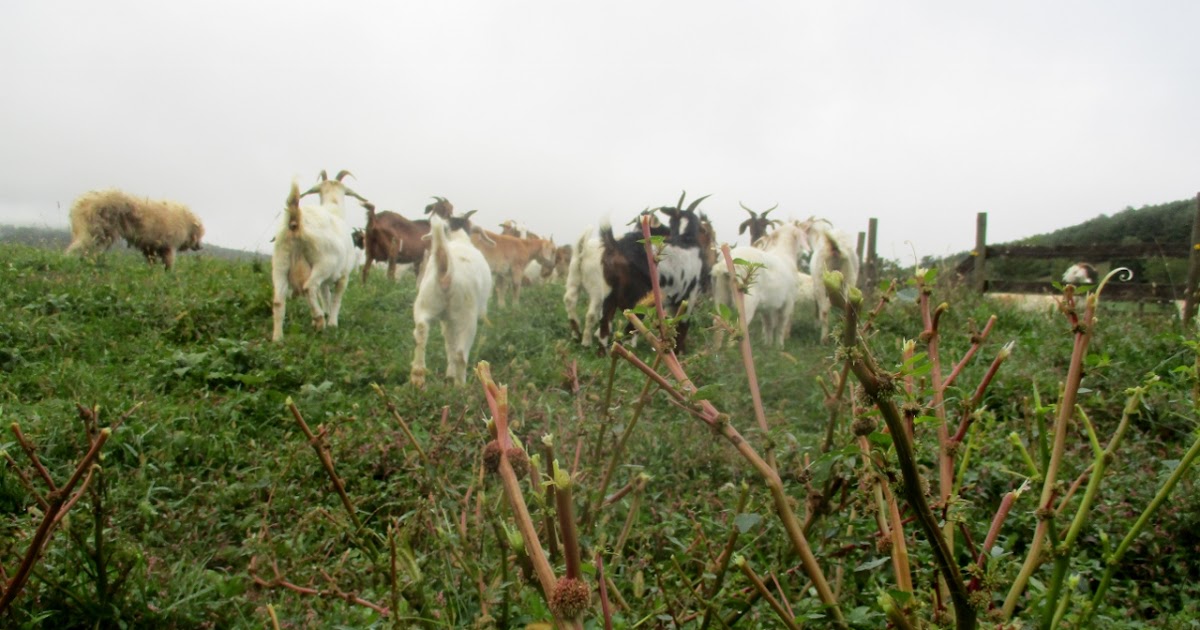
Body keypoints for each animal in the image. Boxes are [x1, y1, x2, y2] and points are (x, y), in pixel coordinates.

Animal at [66, 189, 204, 270]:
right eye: (201, 235)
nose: (200, 246)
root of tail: (77, 205)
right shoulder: (169, 237)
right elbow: (168, 256)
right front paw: (168, 270)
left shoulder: (152, 242)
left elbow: (151, 255)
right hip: (101, 221)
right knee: (88, 241)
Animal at [271, 171, 366, 341]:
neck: (334, 209)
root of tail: (295, 220)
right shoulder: (344, 275)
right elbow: (336, 298)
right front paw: (332, 322)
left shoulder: (326, 281)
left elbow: (325, 294)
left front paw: (327, 314)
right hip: (323, 264)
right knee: (309, 287)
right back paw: (319, 320)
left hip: (280, 264)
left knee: (278, 300)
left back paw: (277, 338)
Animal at [410, 214, 493, 387]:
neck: (459, 239)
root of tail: (445, 272)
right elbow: (452, 344)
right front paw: (451, 374)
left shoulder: (446, 319)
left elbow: (449, 342)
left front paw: (449, 374)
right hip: (466, 314)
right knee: (461, 353)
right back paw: (460, 386)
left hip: (425, 301)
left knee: (421, 330)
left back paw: (417, 376)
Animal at [598, 192, 710, 353]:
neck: (687, 239)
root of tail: (615, 245)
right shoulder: (691, 296)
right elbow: (683, 325)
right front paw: (680, 352)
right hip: (638, 300)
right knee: (629, 333)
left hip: (608, 293)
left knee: (604, 326)